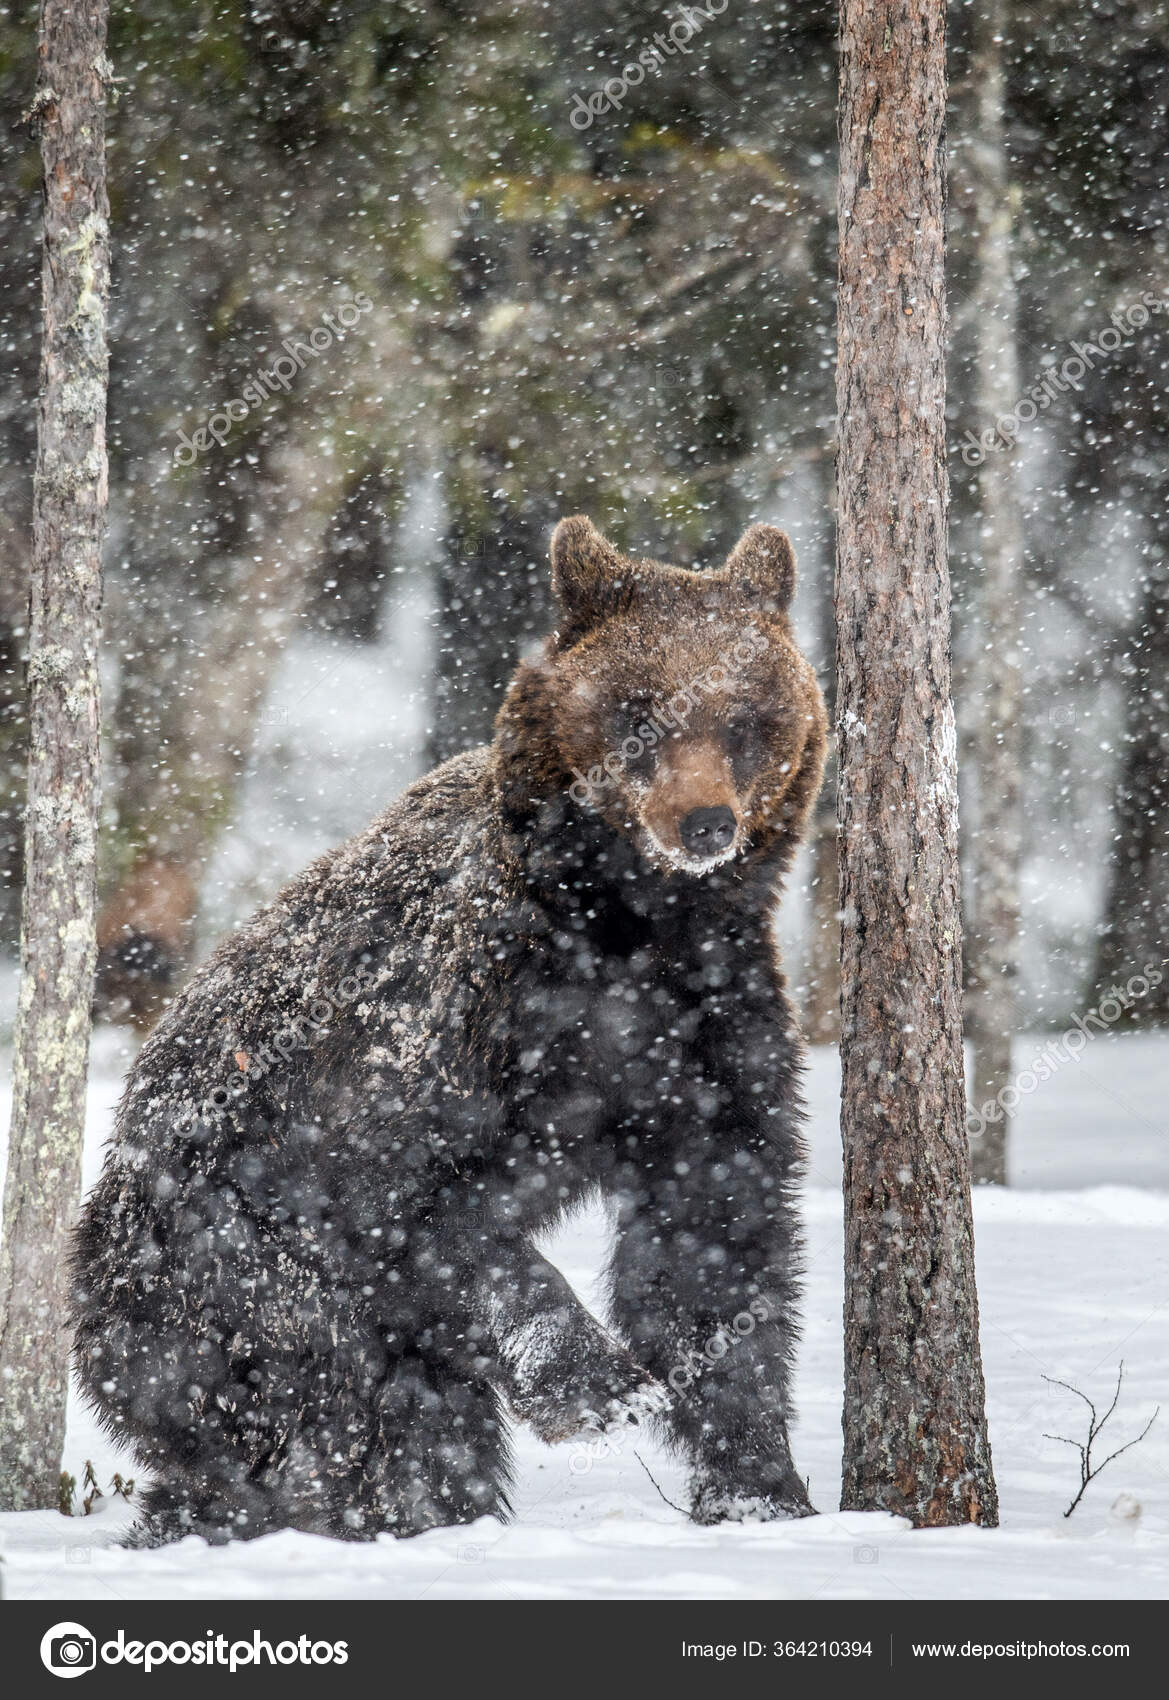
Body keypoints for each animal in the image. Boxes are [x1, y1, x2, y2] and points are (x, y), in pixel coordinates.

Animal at [71, 515, 828, 1545]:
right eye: (637, 713)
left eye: (747, 719)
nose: (704, 823)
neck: (624, 929)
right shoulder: (438, 1026)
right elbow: (413, 1208)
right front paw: (601, 1387)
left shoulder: (706, 1028)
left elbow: (714, 1248)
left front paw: (759, 1488)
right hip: (210, 1262)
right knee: (330, 1406)